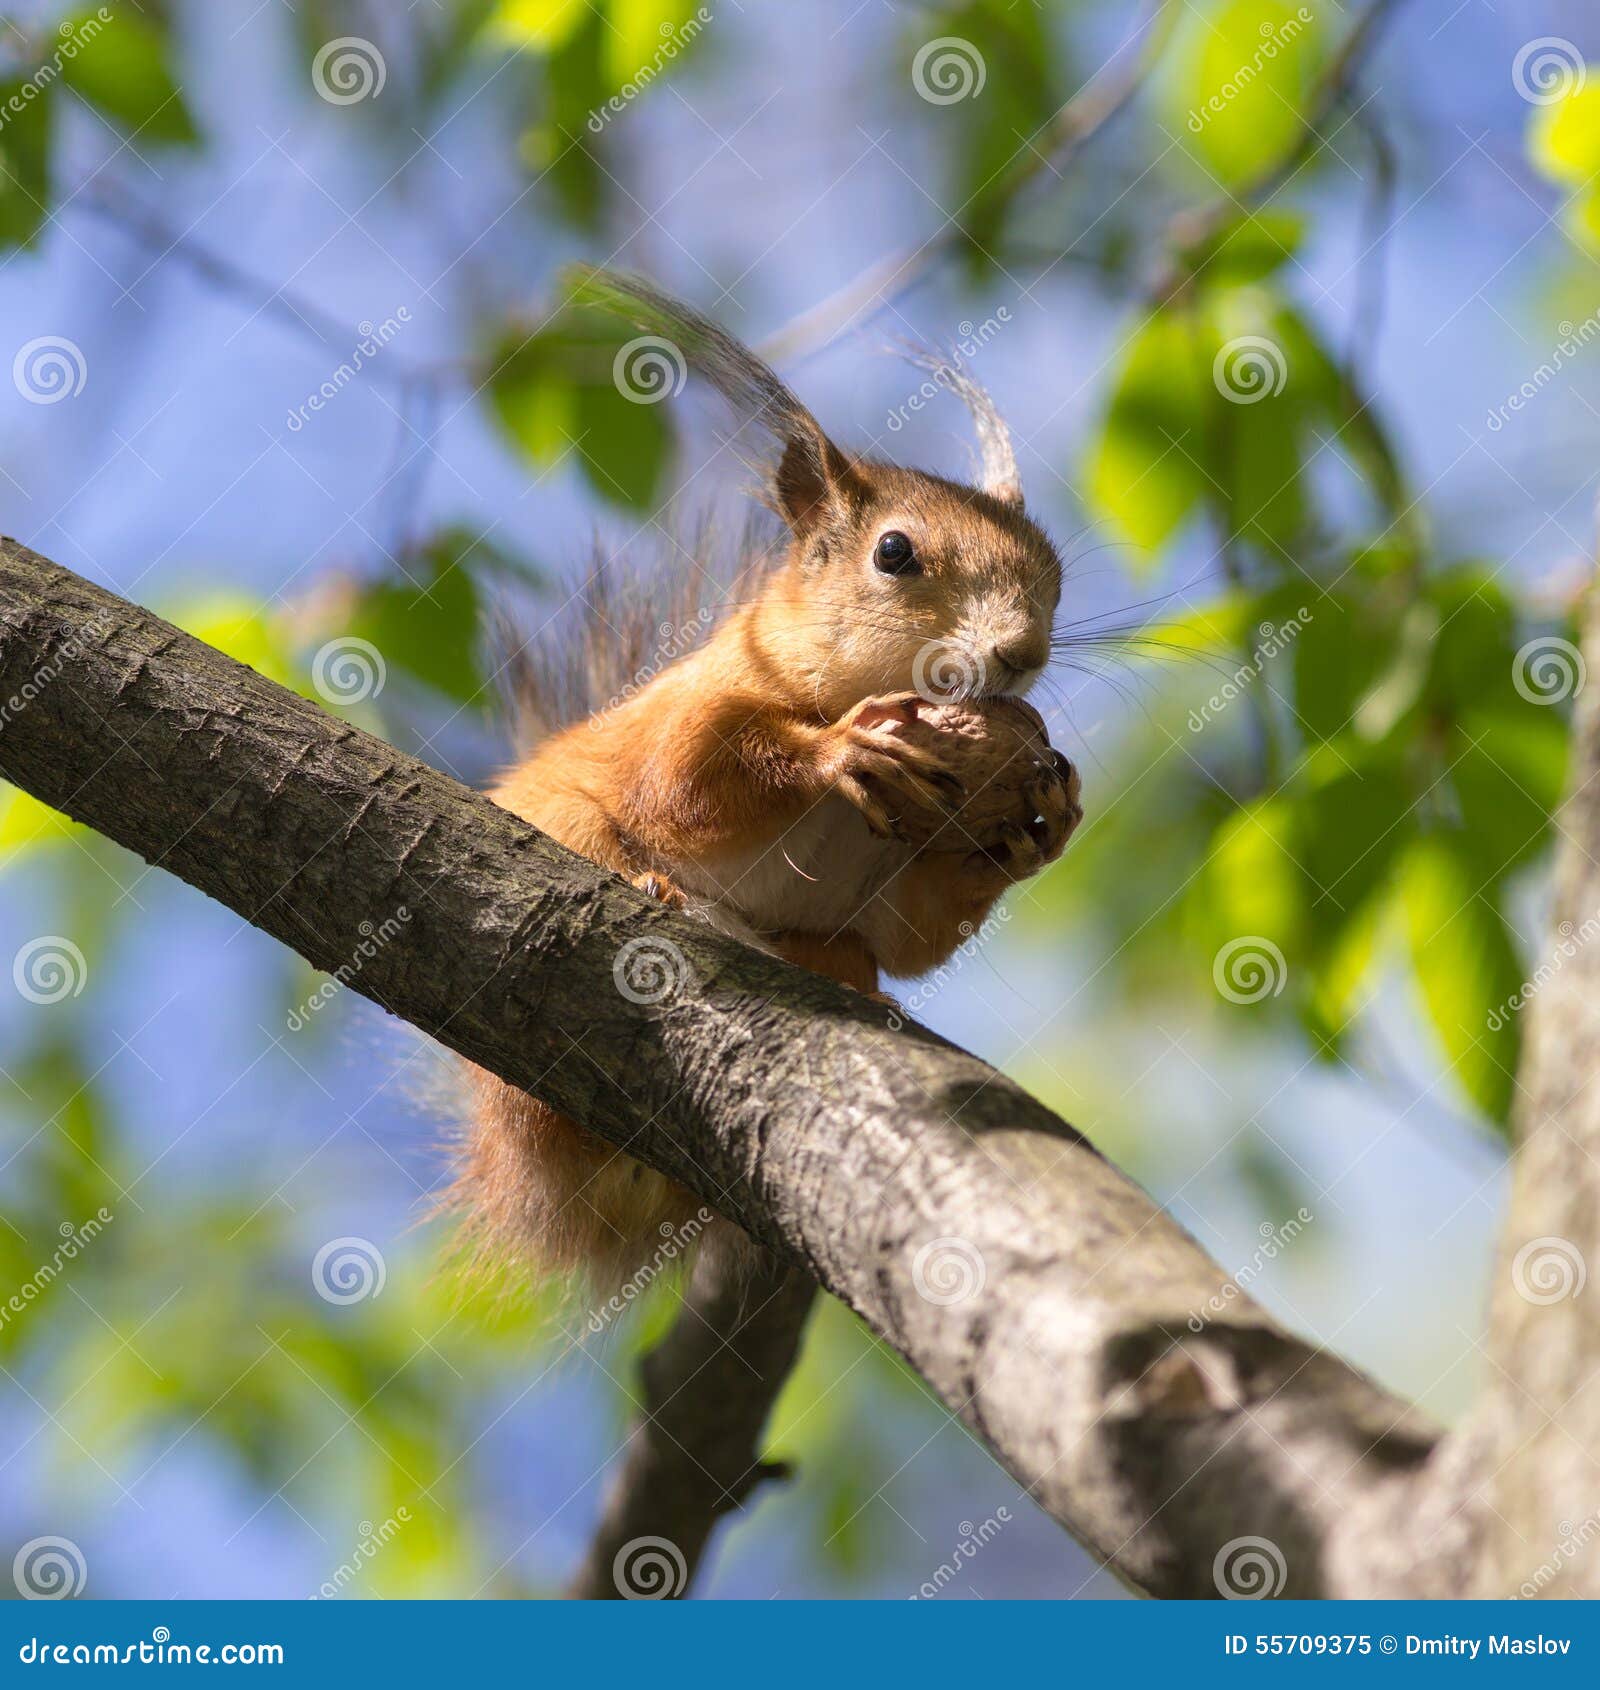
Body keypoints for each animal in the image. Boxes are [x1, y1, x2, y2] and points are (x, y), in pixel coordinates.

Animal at [456, 270, 1082, 1290]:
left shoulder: (891, 879)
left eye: (1057, 574)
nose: (1021, 654)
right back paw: (650, 885)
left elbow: (912, 932)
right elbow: (684, 785)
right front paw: (846, 753)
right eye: (895, 553)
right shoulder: (696, 707)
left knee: (858, 957)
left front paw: (1042, 824)